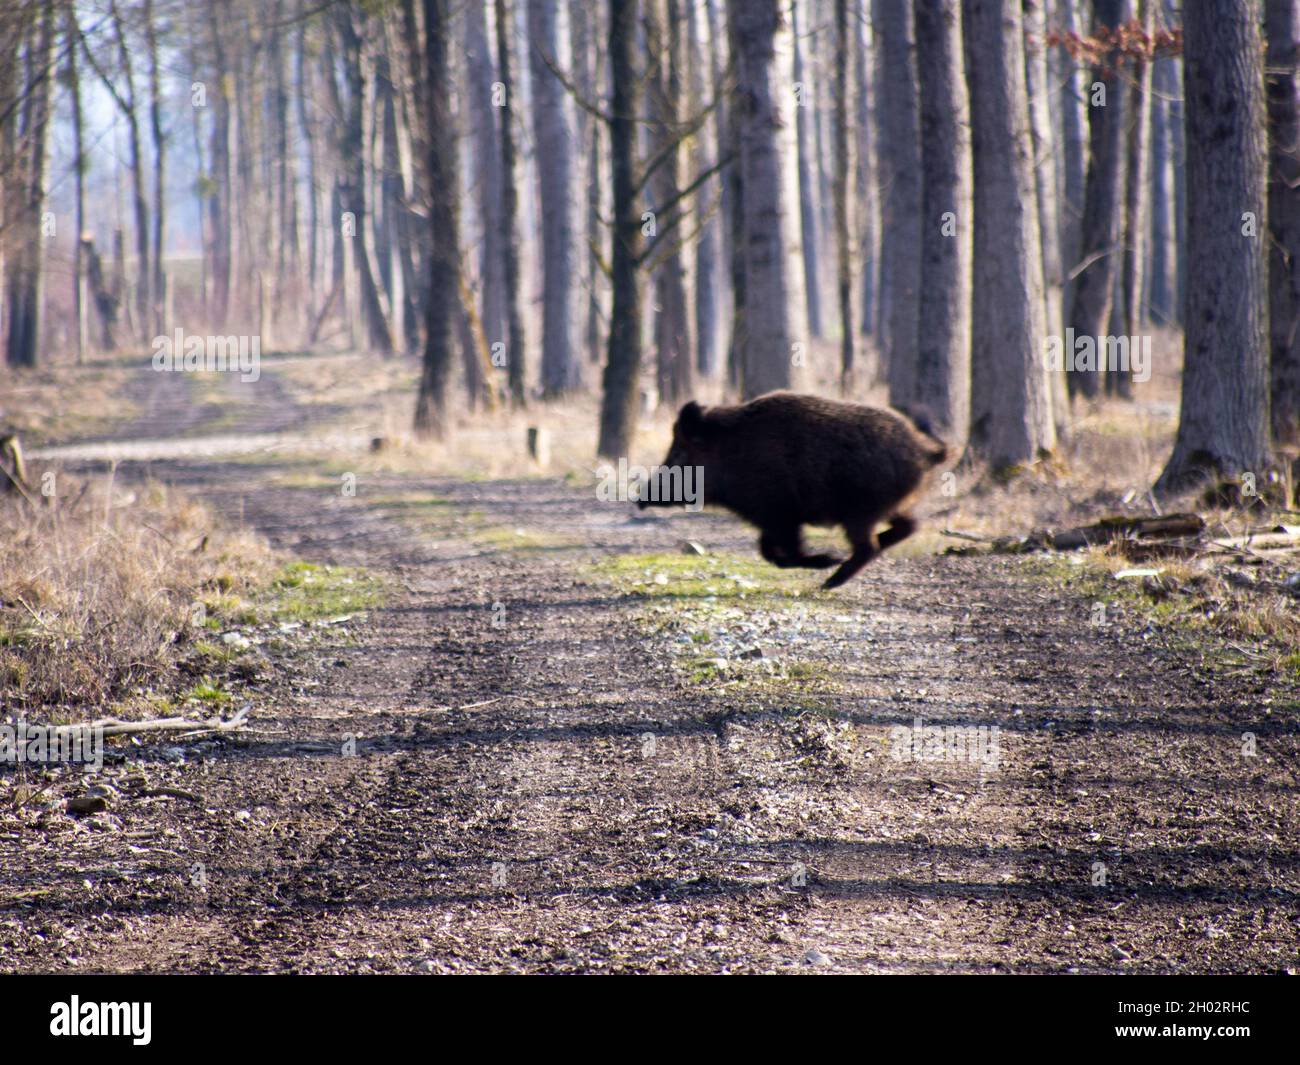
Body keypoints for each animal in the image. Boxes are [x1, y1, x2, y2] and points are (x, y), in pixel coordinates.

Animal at [638, 391, 948, 589]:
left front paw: (826, 559)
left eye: (679, 454)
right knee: (909, 527)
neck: (730, 453)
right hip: (894, 505)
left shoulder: (780, 513)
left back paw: (830, 581)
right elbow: (768, 553)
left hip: (861, 511)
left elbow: (786, 550)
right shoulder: (770, 517)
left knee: (868, 546)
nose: (640, 498)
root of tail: (925, 451)